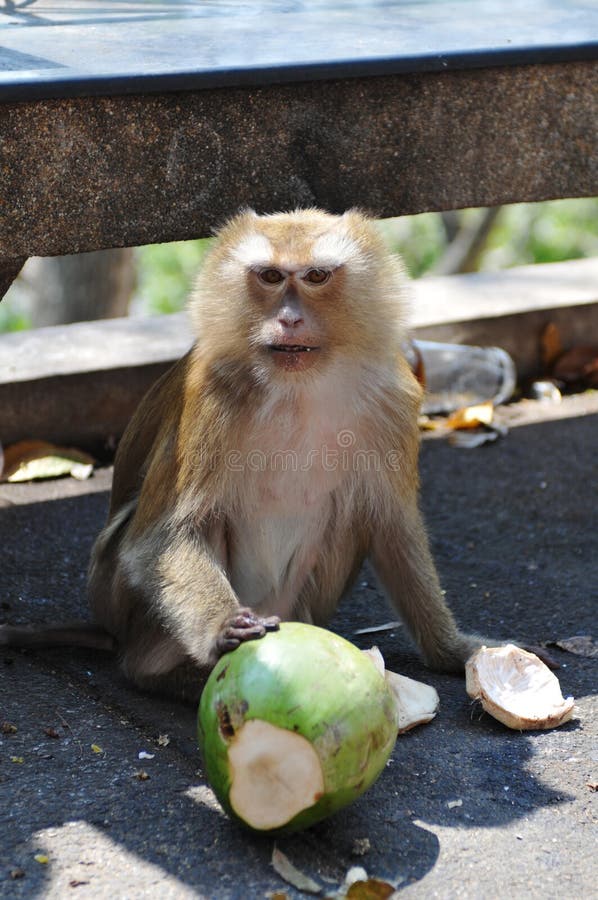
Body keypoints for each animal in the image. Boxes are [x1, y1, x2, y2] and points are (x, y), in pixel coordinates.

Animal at [0, 209, 498, 702]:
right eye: (271, 276)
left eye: (316, 276)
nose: (290, 319)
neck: (299, 389)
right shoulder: (210, 393)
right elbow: (165, 537)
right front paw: (223, 627)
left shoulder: (391, 398)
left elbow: (392, 526)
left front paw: (452, 651)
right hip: (123, 602)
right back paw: (165, 673)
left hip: (291, 602)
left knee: (349, 513)